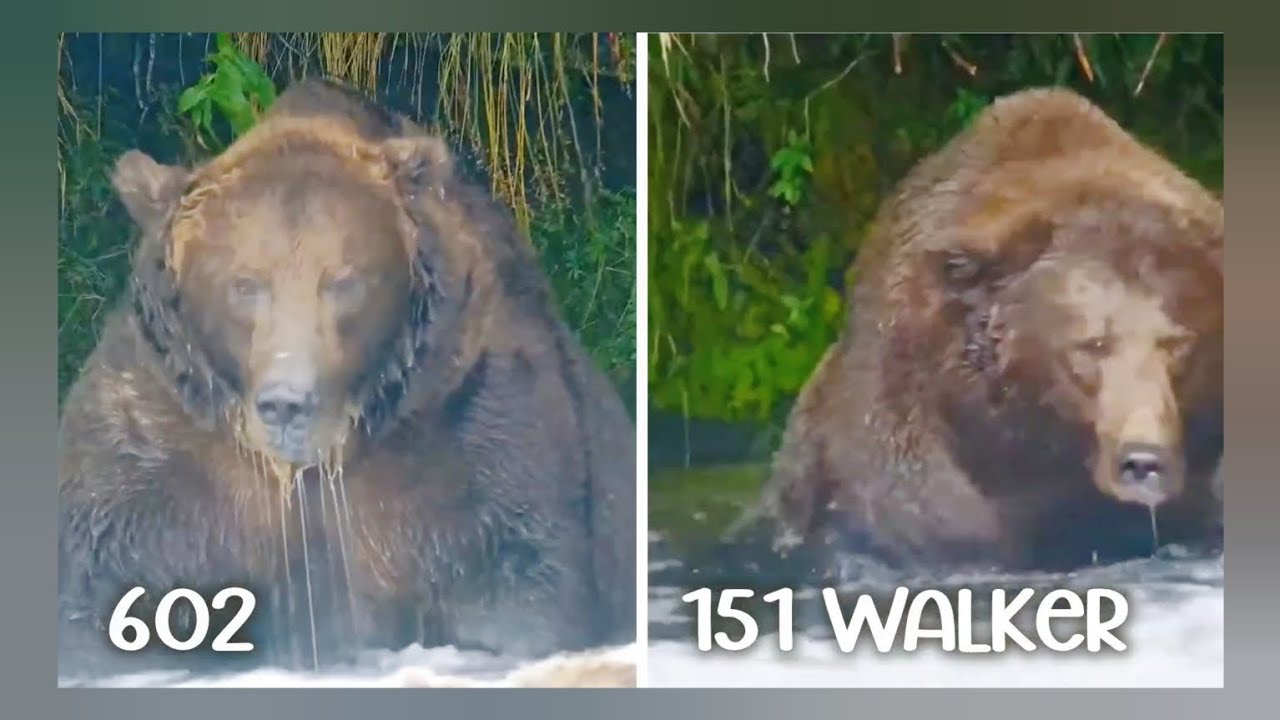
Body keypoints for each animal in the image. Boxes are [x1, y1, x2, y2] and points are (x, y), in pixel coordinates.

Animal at [57, 79, 636, 680]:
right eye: (245, 284)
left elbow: (517, 587)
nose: (287, 403)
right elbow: (101, 588)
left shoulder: (471, 438)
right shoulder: (154, 458)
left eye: (343, 281)